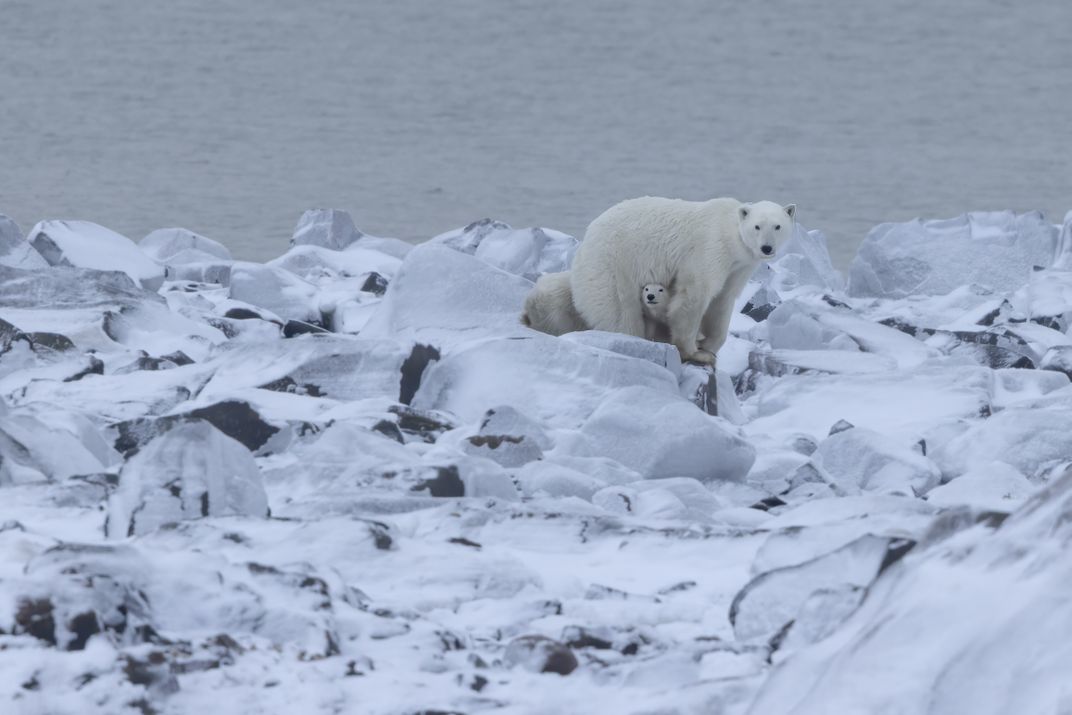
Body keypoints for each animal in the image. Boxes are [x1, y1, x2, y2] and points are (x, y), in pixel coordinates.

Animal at [570, 197, 795, 364]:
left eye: (777, 226)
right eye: (757, 226)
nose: (767, 248)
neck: (730, 233)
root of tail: (585, 241)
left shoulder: (739, 266)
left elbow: (723, 299)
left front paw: (709, 346)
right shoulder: (710, 249)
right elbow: (694, 295)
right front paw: (695, 352)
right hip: (613, 265)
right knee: (620, 313)